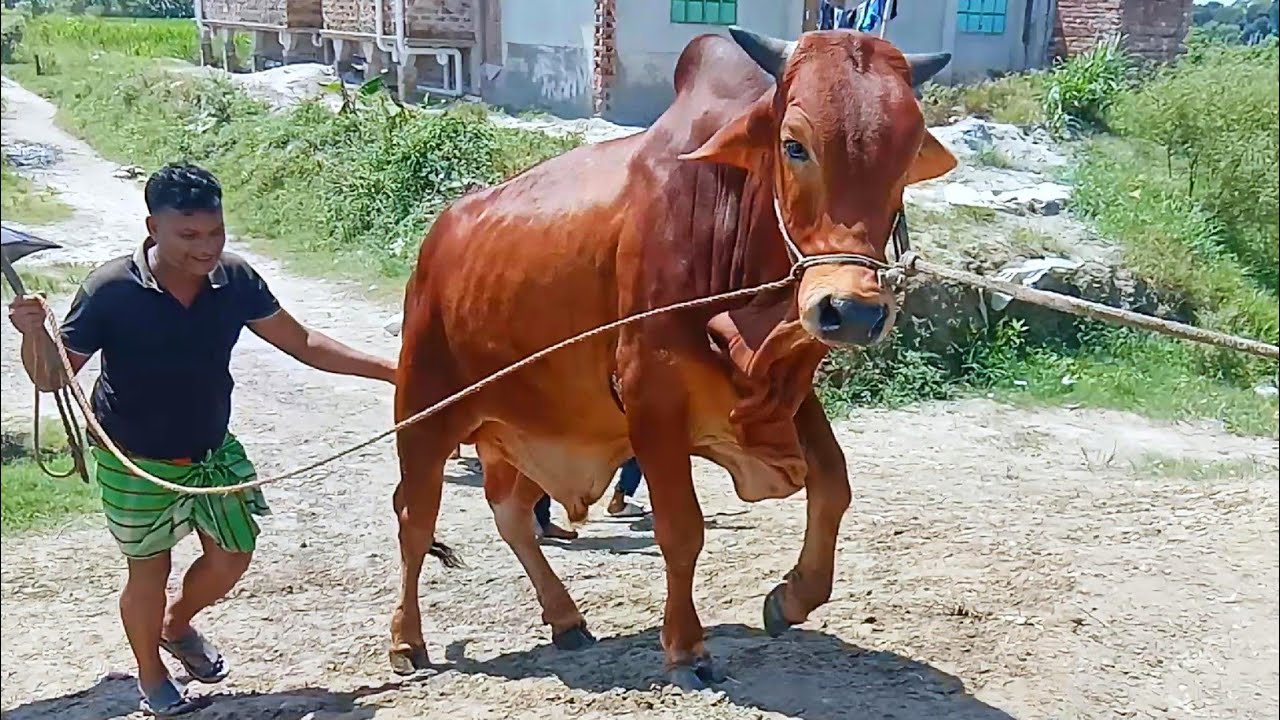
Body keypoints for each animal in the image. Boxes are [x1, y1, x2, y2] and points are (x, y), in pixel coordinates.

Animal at [388, 26, 958, 689]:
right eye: (794, 145)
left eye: (907, 156)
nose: (854, 310)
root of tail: (440, 232)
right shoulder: (649, 395)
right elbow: (681, 528)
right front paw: (687, 647)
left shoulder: (781, 394)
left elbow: (834, 485)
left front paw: (789, 599)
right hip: (425, 409)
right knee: (415, 516)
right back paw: (406, 641)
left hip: (525, 425)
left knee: (509, 513)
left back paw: (566, 620)